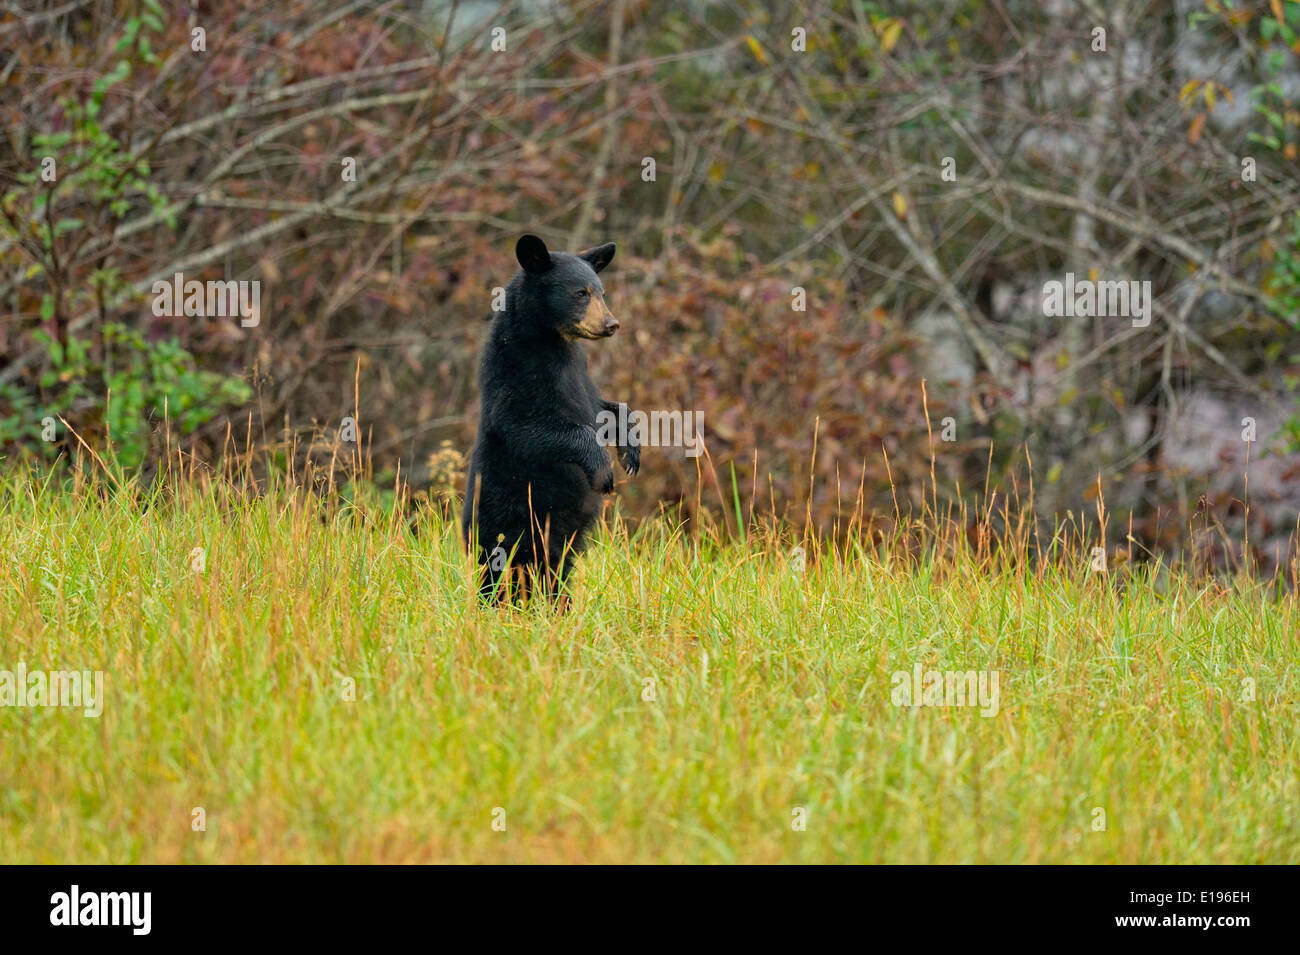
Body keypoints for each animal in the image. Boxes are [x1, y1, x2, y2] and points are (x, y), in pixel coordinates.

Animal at [462, 233, 639, 604]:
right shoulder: (516, 370)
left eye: (601, 291)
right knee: (507, 568)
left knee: (558, 568)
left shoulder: (579, 372)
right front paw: (603, 471)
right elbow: (530, 425)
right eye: (580, 293)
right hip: (513, 521)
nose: (611, 324)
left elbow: (606, 409)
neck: (553, 341)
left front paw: (630, 454)